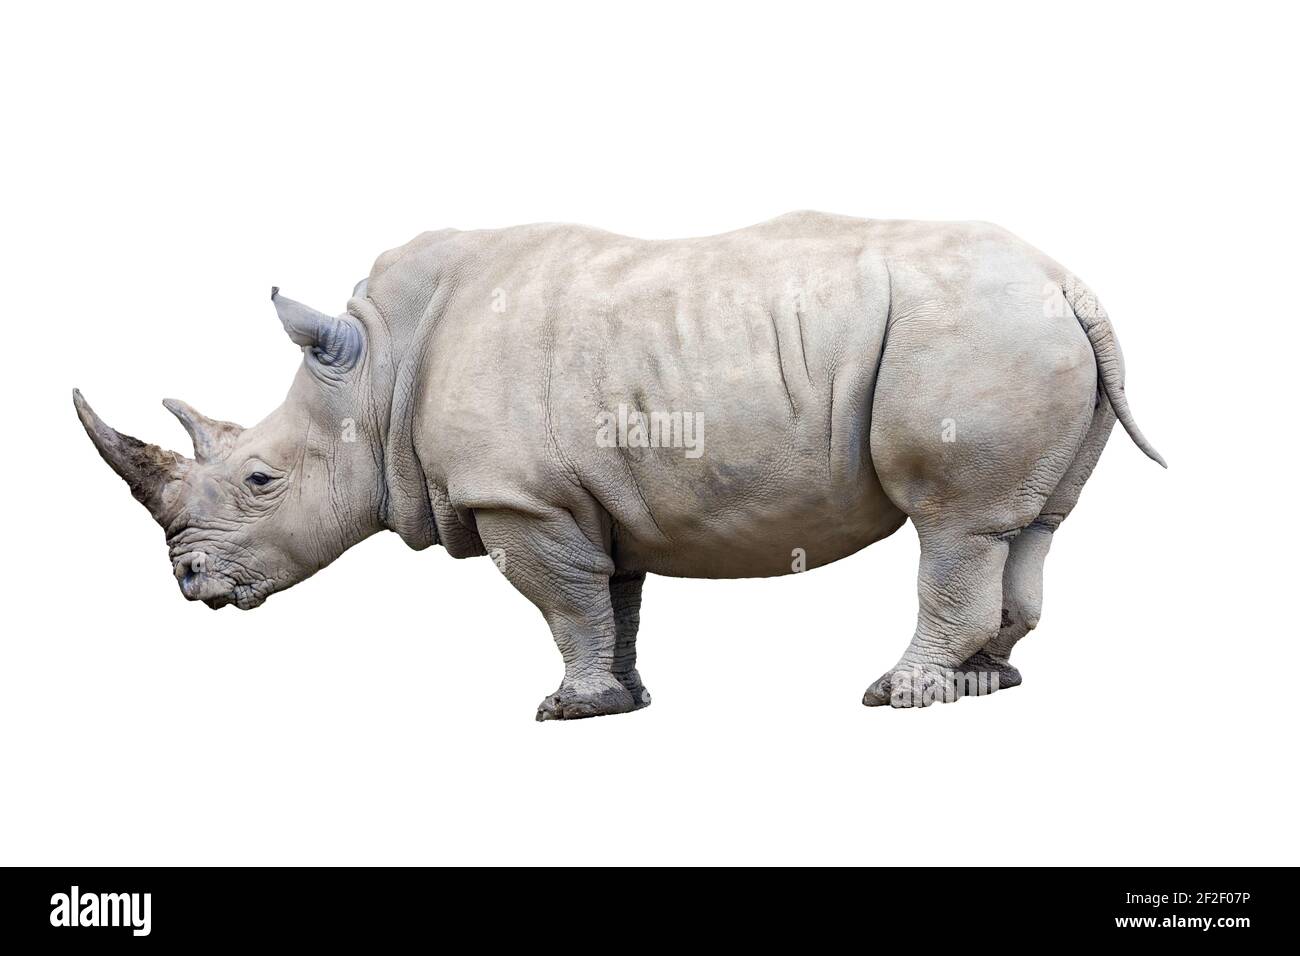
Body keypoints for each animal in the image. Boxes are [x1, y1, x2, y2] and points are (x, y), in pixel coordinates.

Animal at [74, 212, 1164, 716]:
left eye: (260, 480)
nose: (188, 581)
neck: (371, 377)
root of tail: (1070, 282)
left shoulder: (519, 498)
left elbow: (563, 602)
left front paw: (569, 709)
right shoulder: (586, 495)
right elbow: (610, 596)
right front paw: (623, 699)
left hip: (972, 331)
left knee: (952, 524)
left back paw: (899, 695)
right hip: (1019, 329)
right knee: (1024, 524)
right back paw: (986, 685)